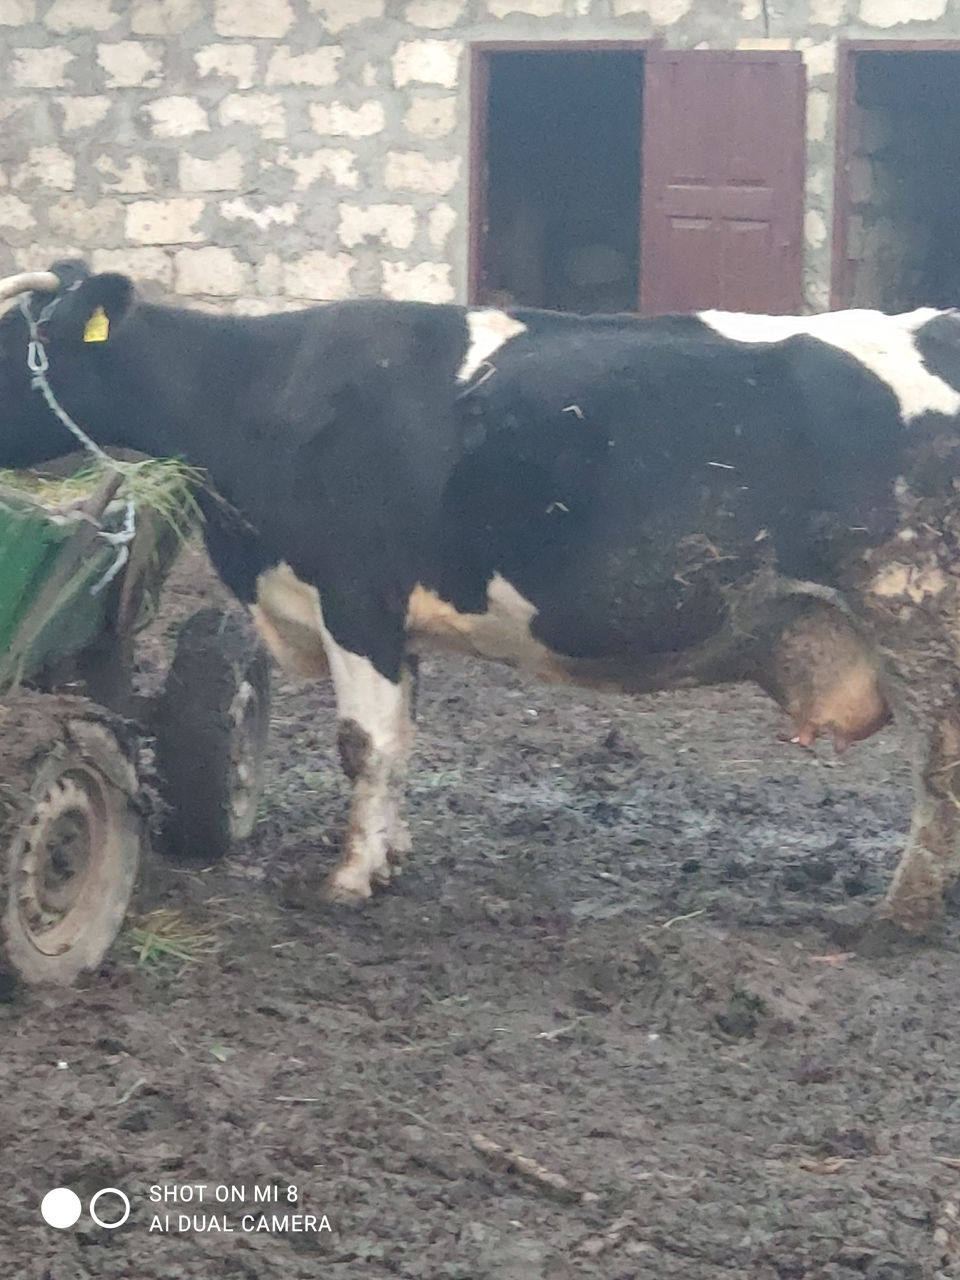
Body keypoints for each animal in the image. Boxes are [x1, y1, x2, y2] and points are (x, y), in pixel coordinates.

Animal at [0, 260, 957, 938]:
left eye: (11, 338)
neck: (256, 393)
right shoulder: (391, 623)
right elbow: (401, 742)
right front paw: (390, 857)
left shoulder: (356, 596)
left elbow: (363, 746)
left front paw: (348, 880)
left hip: (915, 617)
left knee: (937, 773)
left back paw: (899, 917)